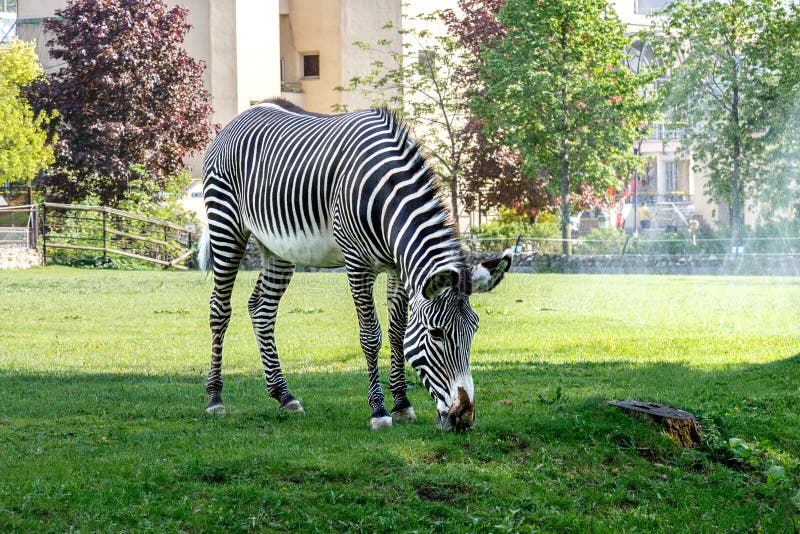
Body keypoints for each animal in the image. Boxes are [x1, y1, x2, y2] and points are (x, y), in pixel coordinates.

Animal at [199, 99, 511, 431]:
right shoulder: (357, 263)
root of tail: (239, 118)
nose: (463, 417)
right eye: (437, 334)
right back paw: (215, 398)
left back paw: (284, 395)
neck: (386, 199)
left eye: (474, 329)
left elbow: (397, 333)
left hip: (276, 248)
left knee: (261, 309)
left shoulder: (397, 267)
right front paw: (379, 411)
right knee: (220, 309)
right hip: (226, 225)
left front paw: (402, 405)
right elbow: (371, 335)